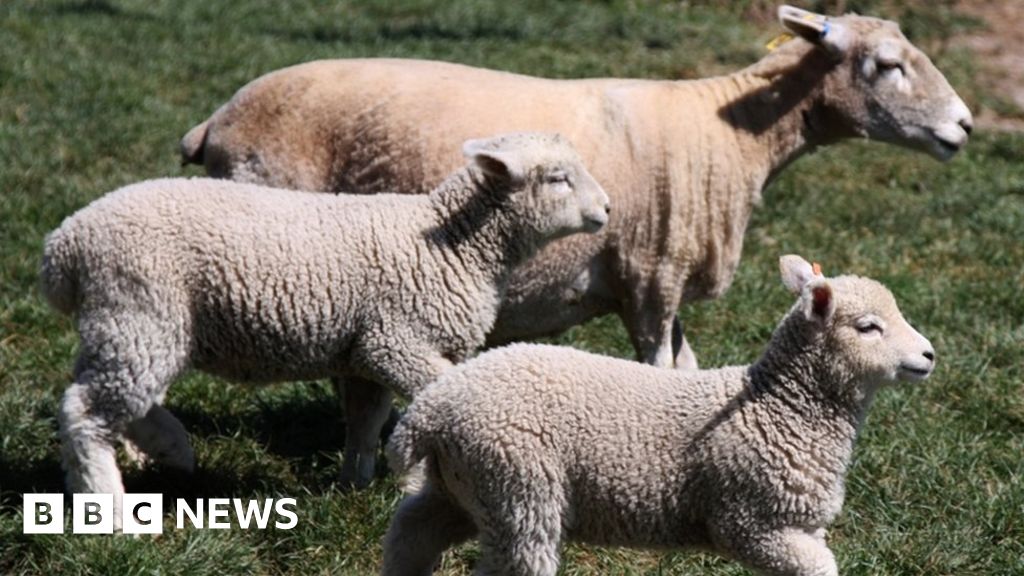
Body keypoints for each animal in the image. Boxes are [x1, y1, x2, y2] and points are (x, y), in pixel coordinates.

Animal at [40, 132, 611, 524]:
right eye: (557, 178)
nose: (607, 208)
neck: (453, 243)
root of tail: (64, 245)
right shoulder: (396, 341)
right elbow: (432, 398)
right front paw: (415, 479)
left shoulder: (365, 354)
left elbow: (365, 422)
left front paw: (357, 484)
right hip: (141, 312)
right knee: (87, 410)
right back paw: (109, 504)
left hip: (122, 324)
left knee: (102, 392)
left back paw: (162, 450)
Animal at [179, 5, 972, 372]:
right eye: (887, 64)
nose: (964, 125)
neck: (732, 132)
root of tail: (216, 121)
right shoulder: (651, 274)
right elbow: (658, 367)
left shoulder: (657, 278)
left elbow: (684, 365)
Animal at [382, 255, 936, 576]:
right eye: (868, 327)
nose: (929, 355)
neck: (779, 405)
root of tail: (432, 408)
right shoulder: (751, 523)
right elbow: (820, 568)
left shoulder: (798, 524)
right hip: (517, 487)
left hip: (465, 487)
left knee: (411, 534)